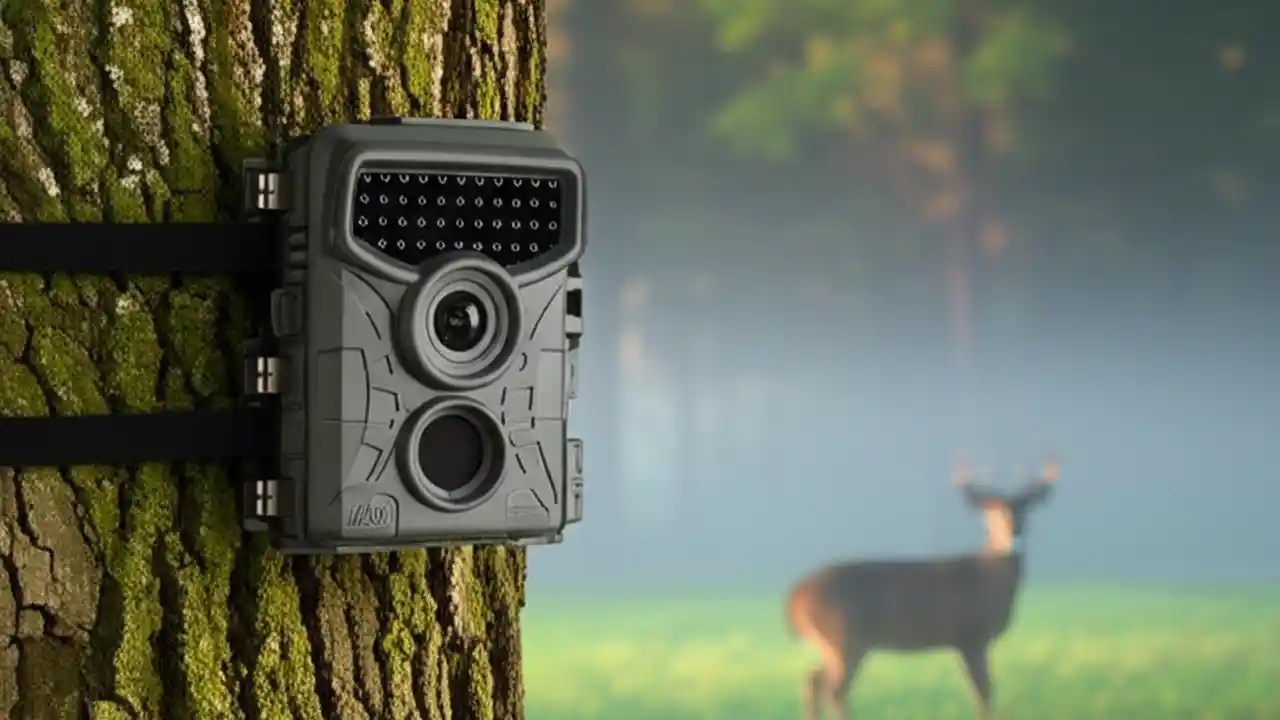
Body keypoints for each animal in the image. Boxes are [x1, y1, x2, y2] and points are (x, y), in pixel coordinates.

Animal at [785, 458, 1059, 720]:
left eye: (1025, 508)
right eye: (990, 511)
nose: (1013, 532)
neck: (988, 581)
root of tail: (794, 597)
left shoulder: (966, 641)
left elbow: (981, 691)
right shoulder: (970, 636)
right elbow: (983, 692)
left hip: (832, 644)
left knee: (811, 681)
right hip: (845, 637)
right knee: (834, 690)